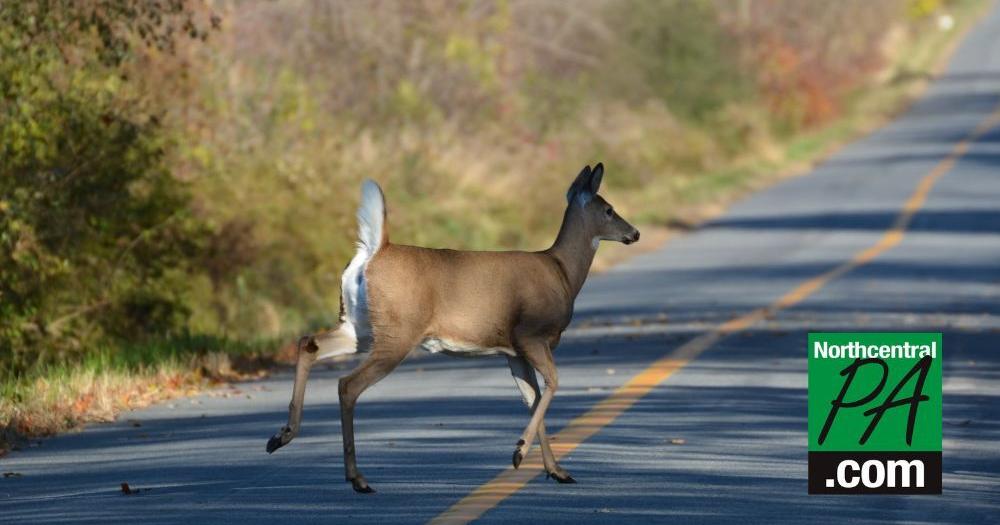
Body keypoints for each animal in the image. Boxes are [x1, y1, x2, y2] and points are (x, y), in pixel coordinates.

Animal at [266, 163, 639, 493]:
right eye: (608, 210)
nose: (634, 233)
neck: (562, 272)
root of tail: (374, 251)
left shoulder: (513, 351)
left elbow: (532, 399)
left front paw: (556, 471)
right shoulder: (530, 334)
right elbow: (553, 384)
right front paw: (519, 453)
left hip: (360, 327)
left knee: (309, 343)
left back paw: (281, 436)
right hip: (397, 332)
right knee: (348, 384)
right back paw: (357, 479)